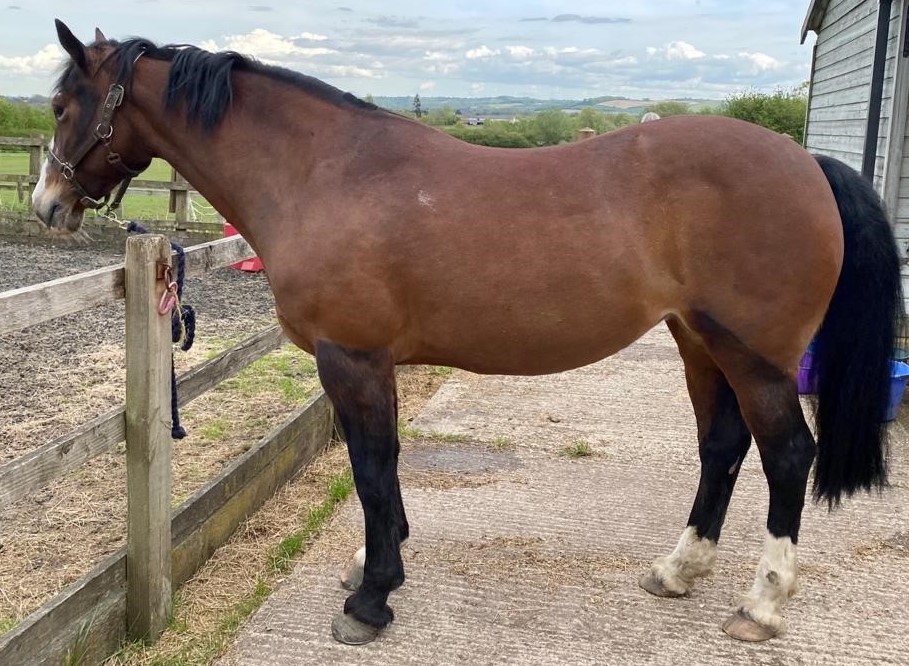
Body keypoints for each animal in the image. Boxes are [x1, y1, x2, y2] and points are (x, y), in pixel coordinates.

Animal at [34, 20, 902, 646]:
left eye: (61, 108)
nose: (46, 205)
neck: (323, 173)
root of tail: (806, 163)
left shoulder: (350, 359)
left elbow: (372, 468)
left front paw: (371, 599)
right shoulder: (368, 363)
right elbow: (378, 469)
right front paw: (374, 564)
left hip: (755, 356)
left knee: (786, 455)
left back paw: (760, 607)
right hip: (698, 342)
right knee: (721, 446)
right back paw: (678, 569)